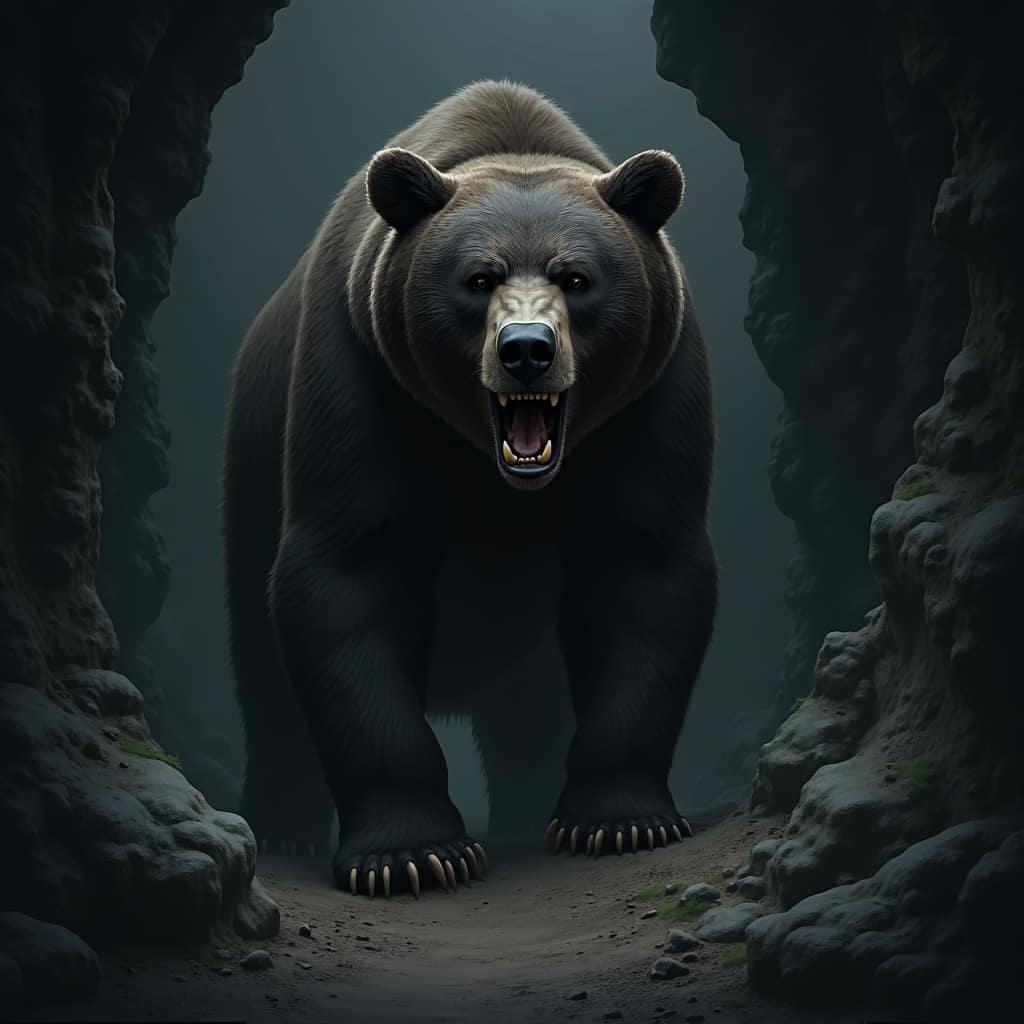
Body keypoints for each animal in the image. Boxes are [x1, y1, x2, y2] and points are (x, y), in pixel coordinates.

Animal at [221, 79, 717, 898]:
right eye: (479, 279)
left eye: (575, 277)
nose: (526, 351)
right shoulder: (362, 376)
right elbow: (350, 571)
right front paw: (415, 854)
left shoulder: (651, 397)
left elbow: (643, 569)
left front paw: (619, 820)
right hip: (252, 463)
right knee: (261, 664)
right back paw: (282, 826)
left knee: (526, 698)